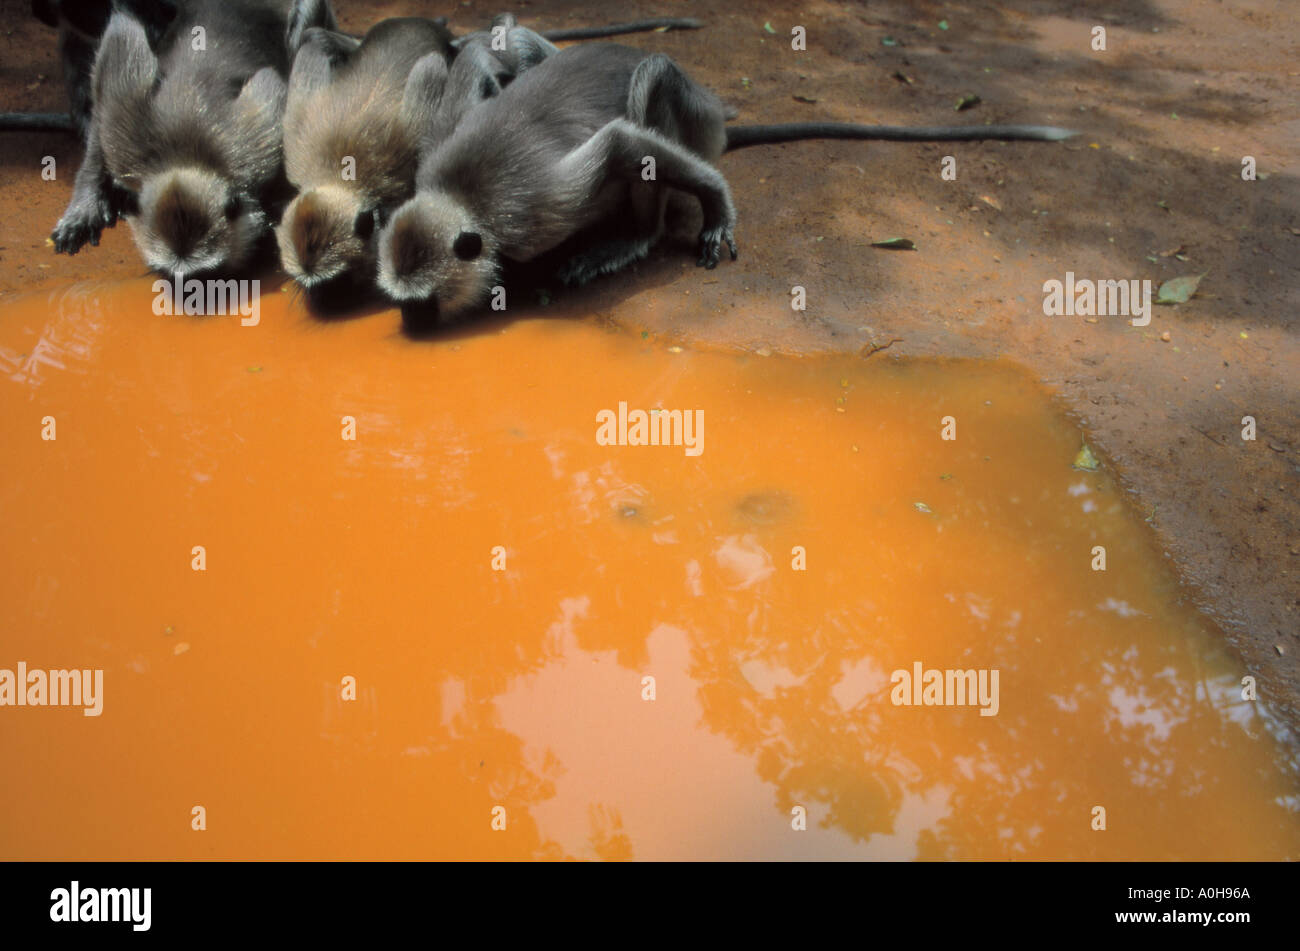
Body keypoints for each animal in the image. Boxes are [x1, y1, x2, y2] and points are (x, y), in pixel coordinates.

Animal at [49, 0, 336, 275]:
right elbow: (117, 50)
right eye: (170, 276)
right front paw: (86, 204)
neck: (185, 156)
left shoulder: (259, 149)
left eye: (208, 274)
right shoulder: (126, 141)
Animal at [375, 43, 1077, 332]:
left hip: (686, 110)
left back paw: (635, 236)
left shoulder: (531, 214)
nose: (410, 324)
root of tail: (715, 118)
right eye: (400, 302)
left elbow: (622, 143)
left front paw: (718, 209)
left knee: (649, 83)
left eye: (422, 302)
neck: (463, 199)